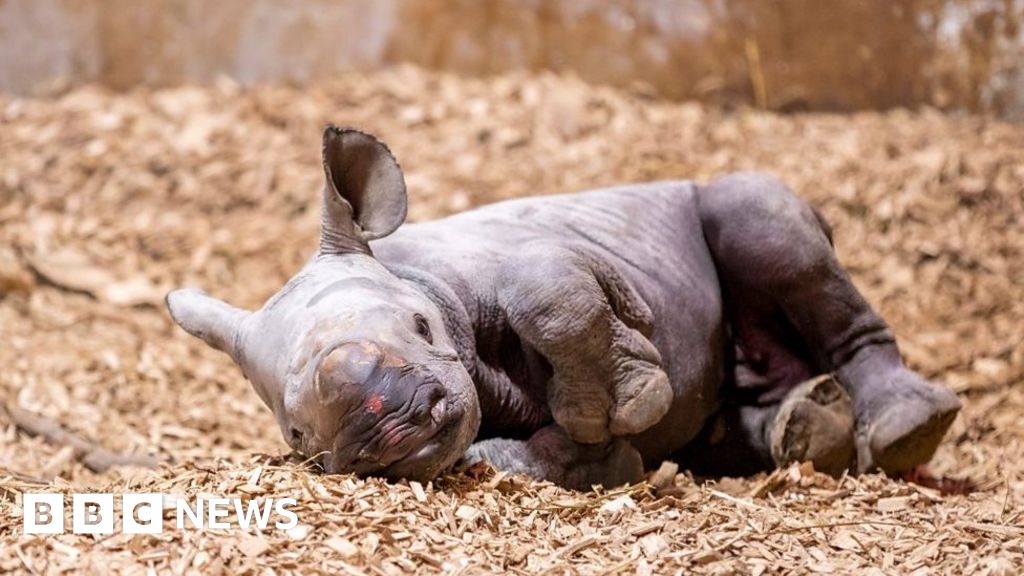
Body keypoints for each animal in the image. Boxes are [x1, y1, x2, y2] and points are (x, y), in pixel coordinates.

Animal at [166, 127, 961, 489]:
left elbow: (544, 290)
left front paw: (630, 401)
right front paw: (605, 454)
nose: (389, 421)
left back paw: (906, 430)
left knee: (758, 216)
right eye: (298, 434)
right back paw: (808, 431)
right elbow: (506, 456)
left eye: (422, 327)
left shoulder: (552, 255)